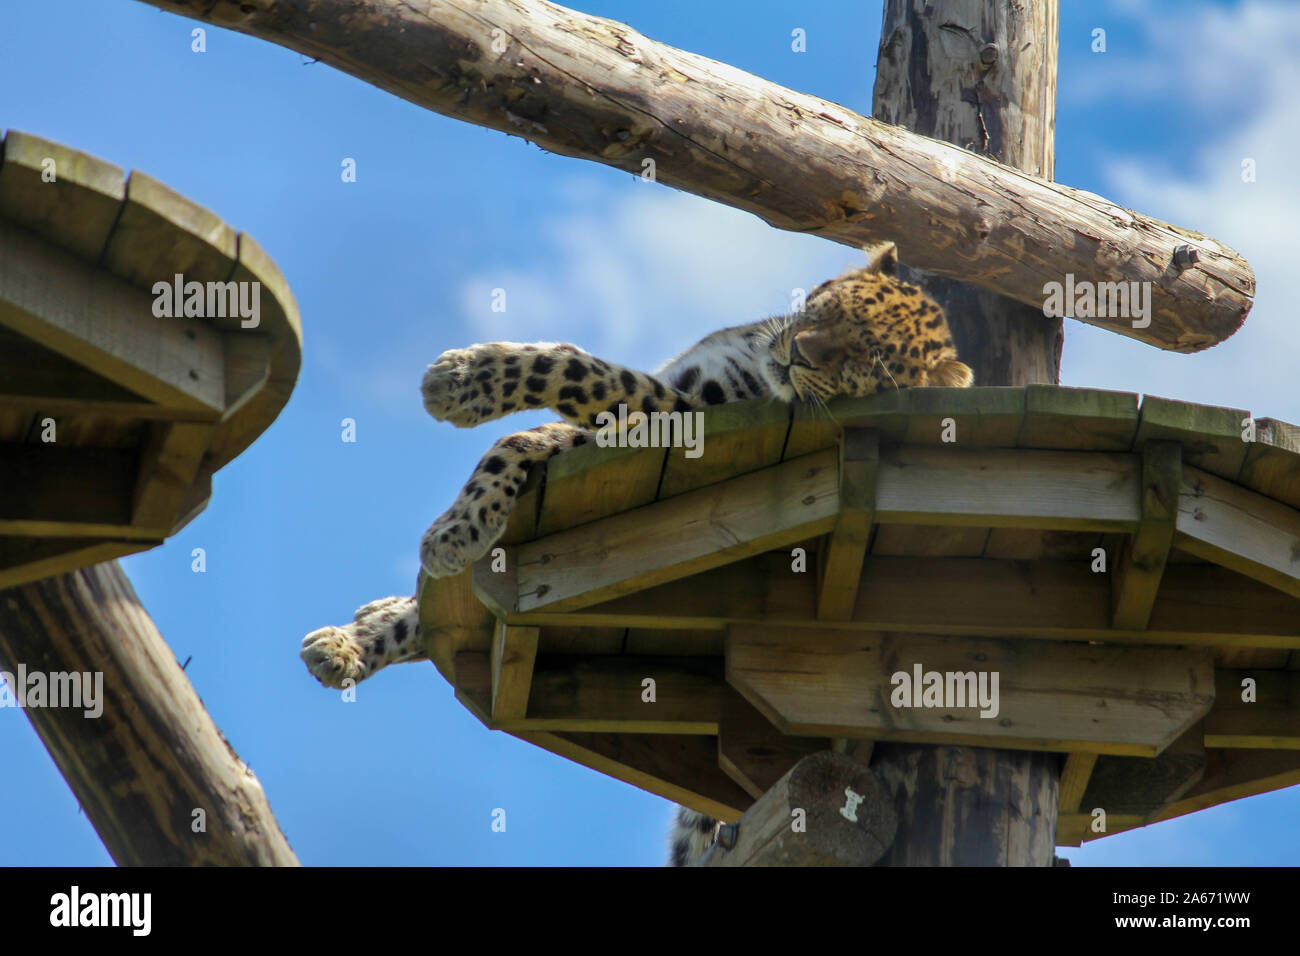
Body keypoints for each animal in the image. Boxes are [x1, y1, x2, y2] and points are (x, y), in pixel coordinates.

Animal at [298, 240, 973, 864]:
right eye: (829, 310)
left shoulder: (684, 415)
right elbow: (558, 381)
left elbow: (576, 383)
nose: (799, 352)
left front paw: (455, 518)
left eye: (865, 358)